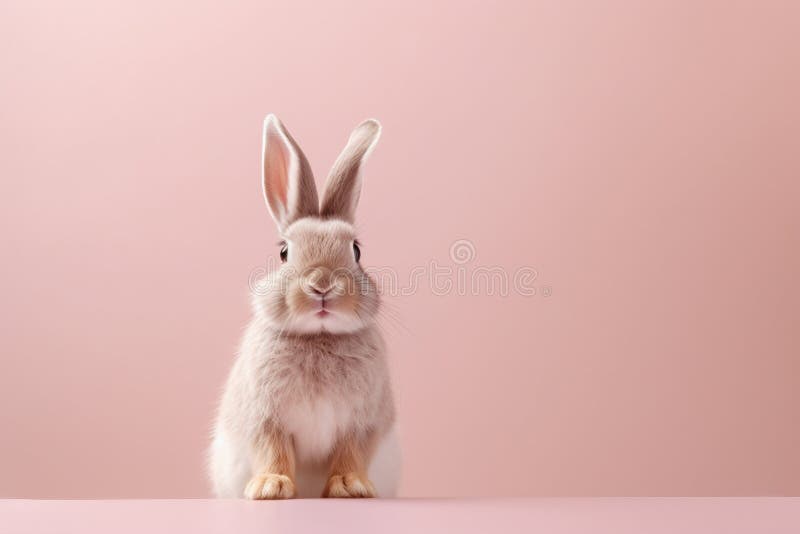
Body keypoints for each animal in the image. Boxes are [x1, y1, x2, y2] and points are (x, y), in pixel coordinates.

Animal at [209, 115, 400, 499]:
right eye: (284, 252)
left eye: (357, 250)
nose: (321, 285)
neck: (318, 337)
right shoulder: (265, 419)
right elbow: (273, 450)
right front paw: (270, 486)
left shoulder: (363, 422)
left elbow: (351, 452)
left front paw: (351, 485)